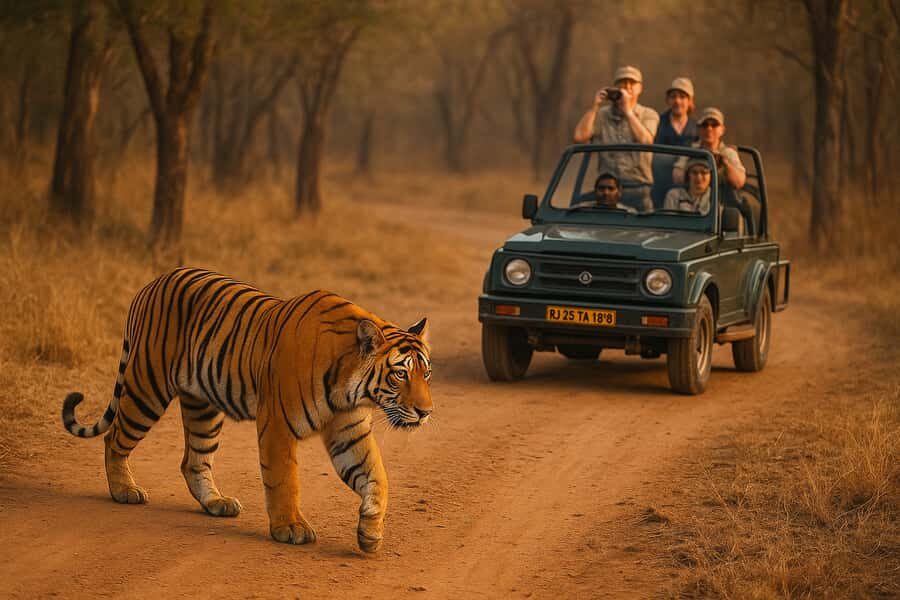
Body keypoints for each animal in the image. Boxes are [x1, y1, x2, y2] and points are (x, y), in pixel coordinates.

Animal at [61, 267, 433, 553]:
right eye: (400, 374)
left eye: (426, 373)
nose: (426, 412)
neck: (350, 388)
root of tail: (150, 284)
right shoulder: (278, 424)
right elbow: (284, 479)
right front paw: (290, 528)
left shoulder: (349, 429)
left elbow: (377, 476)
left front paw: (370, 533)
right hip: (146, 388)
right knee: (114, 439)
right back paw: (124, 491)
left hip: (204, 410)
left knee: (193, 461)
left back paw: (217, 503)